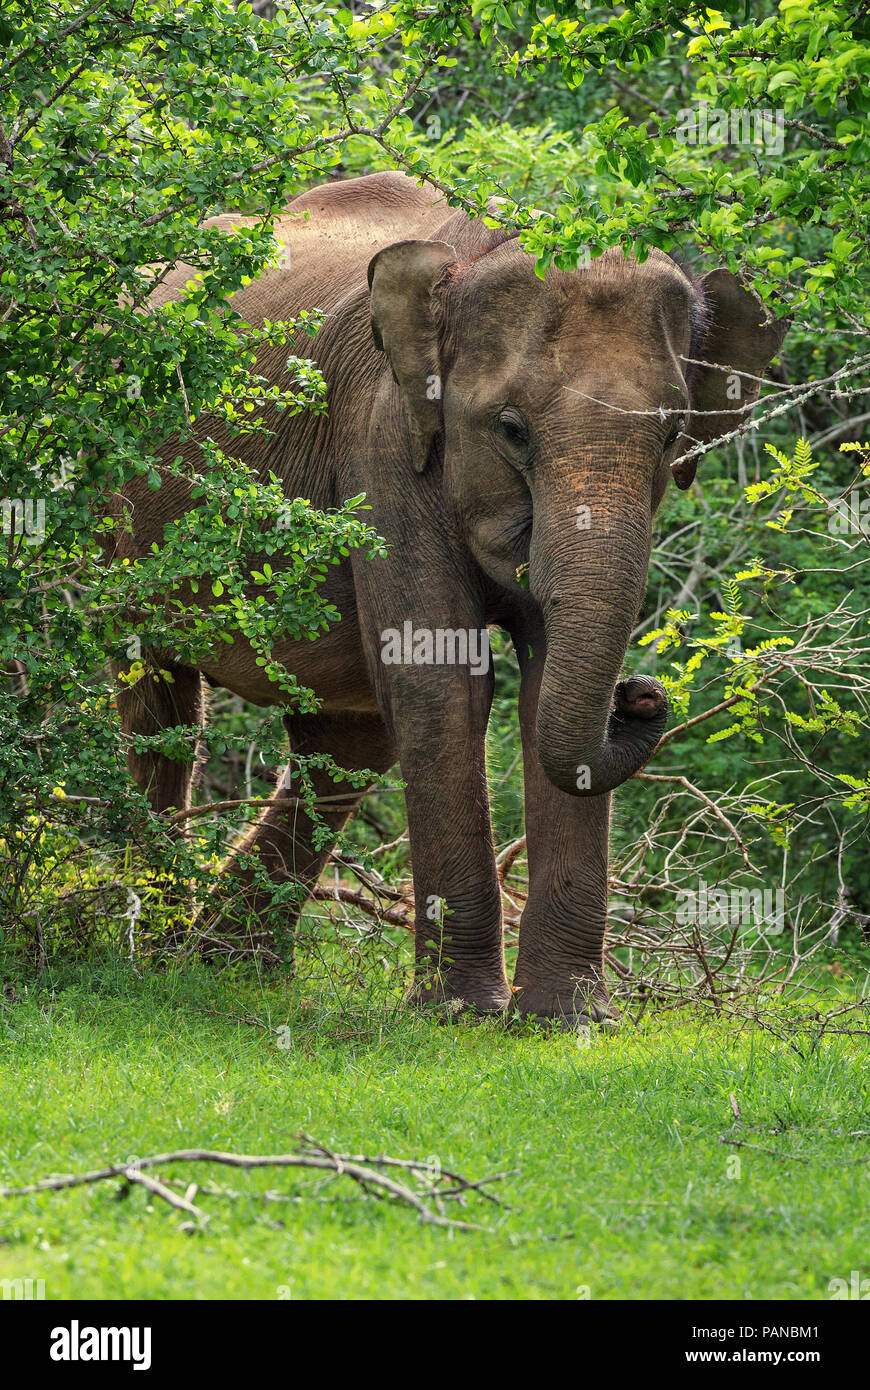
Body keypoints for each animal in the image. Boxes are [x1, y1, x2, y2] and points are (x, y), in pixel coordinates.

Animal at [111, 171, 786, 1026]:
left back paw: (224, 962)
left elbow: (538, 684)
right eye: (511, 430)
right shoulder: (381, 441)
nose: (641, 696)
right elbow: (442, 678)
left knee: (346, 740)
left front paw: (567, 1020)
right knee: (158, 698)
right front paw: (461, 1013)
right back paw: (149, 948)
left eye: (672, 436)